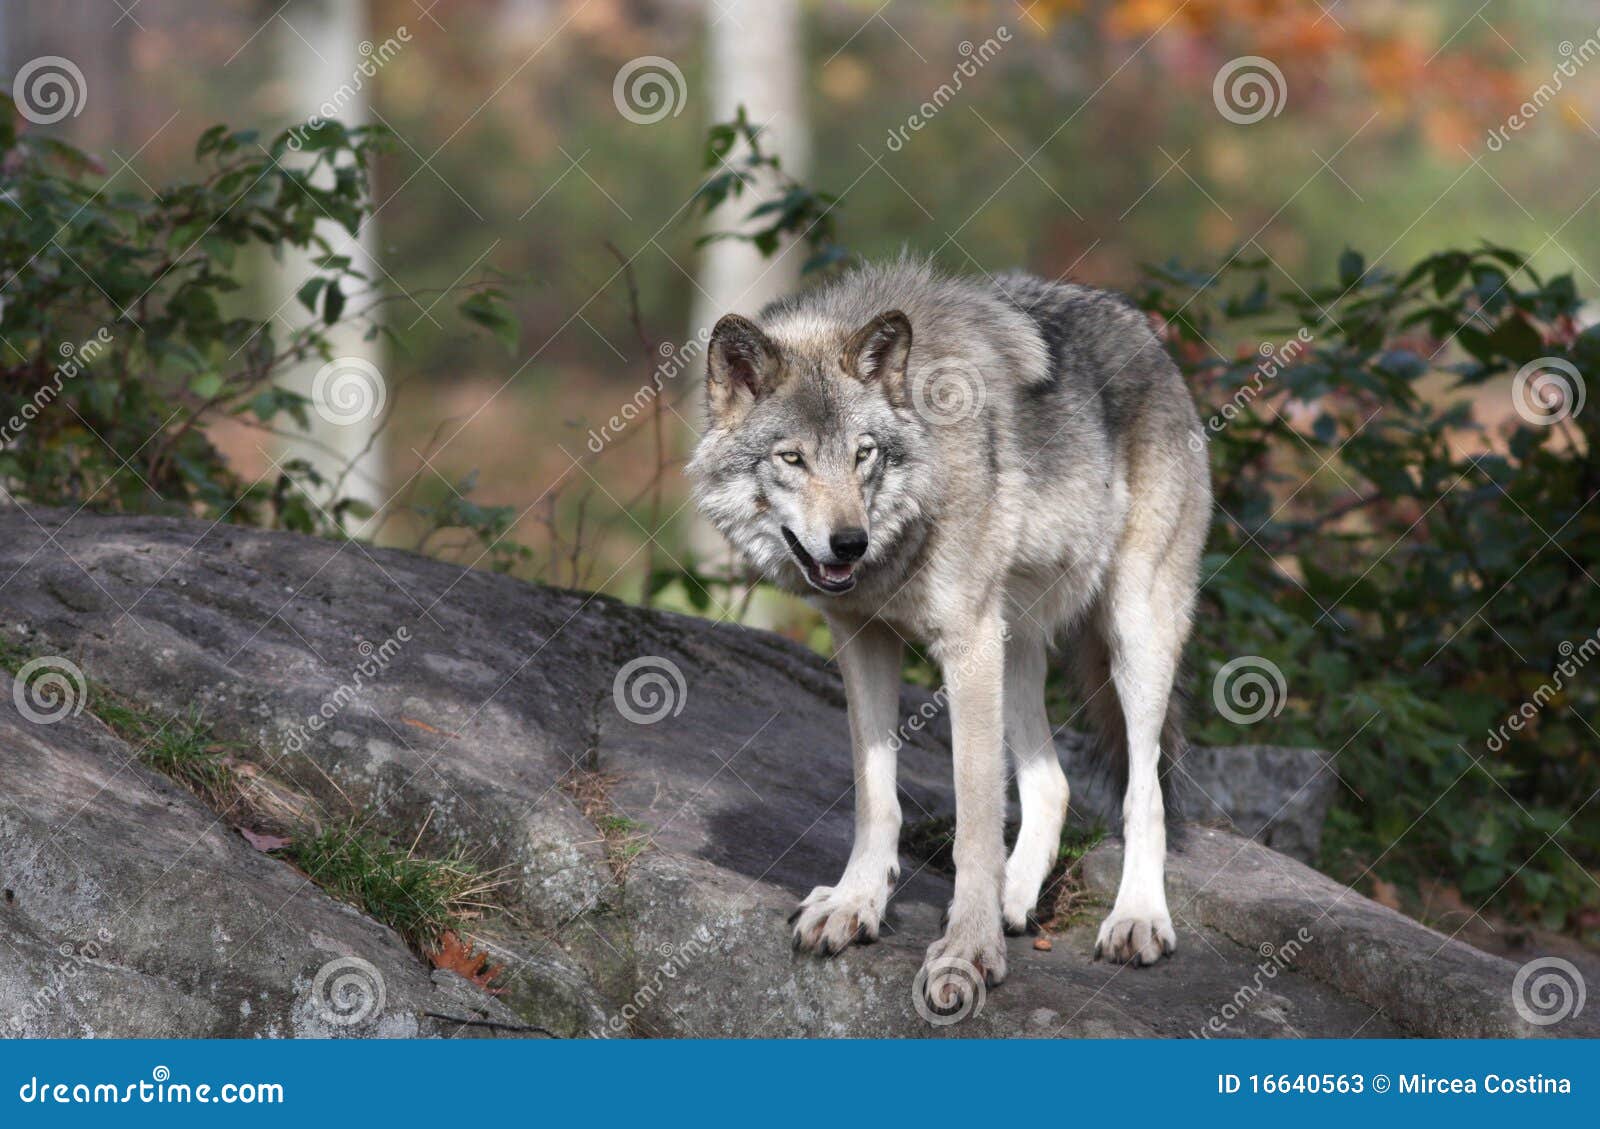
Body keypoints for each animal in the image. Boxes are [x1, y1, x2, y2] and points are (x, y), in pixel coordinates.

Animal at [687, 256, 1211, 1013]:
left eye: (864, 454)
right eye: (792, 458)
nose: (849, 543)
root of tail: (1148, 332)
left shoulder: (965, 646)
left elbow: (973, 826)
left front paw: (967, 952)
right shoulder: (863, 638)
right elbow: (876, 798)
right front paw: (855, 903)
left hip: (1132, 633)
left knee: (1146, 790)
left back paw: (1137, 918)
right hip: (1015, 645)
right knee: (1052, 783)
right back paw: (1015, 899)